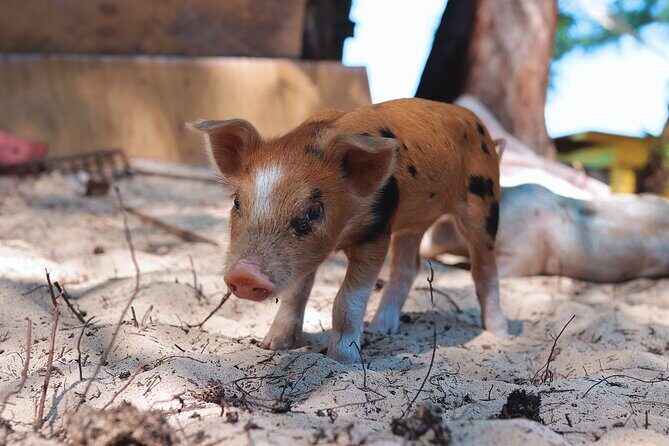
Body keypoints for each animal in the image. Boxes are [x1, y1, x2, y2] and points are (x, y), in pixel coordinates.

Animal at [191, 98, 507, 363]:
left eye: (313, 211)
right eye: (236, 202)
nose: (244, 274)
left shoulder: (376, 232)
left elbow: (347, 299)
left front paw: (342, 360)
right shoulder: (304, 258)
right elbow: (297, 293)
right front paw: (271, 346)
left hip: (484, 202)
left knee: (485, 268)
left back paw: (499, 335)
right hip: (413, 224)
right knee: (408, 268)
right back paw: (382, 329)